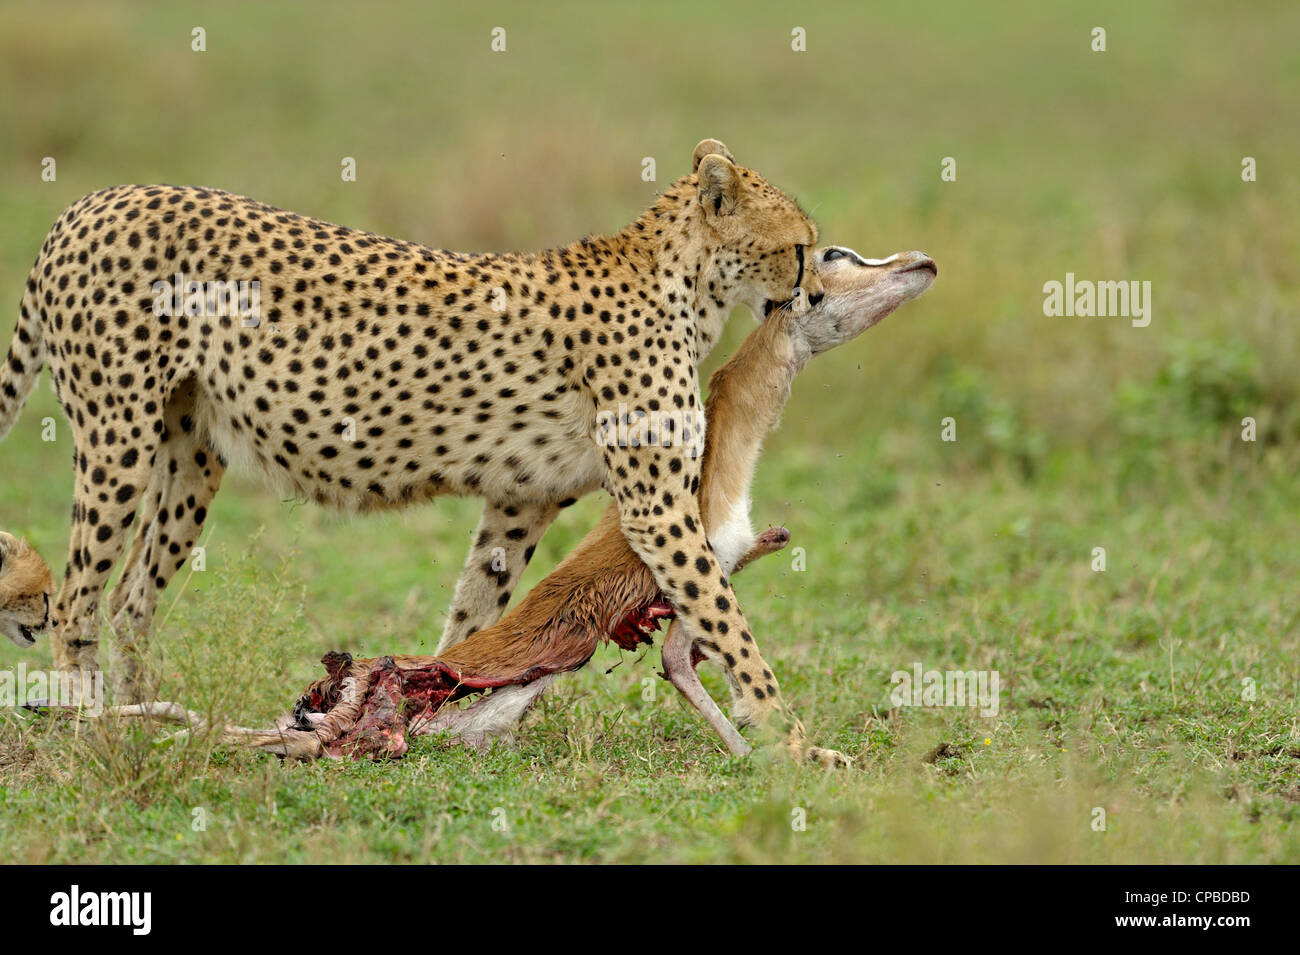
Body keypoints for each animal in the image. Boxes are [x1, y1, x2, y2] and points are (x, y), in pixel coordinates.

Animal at [0, 138, 840, 762]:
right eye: (800, 247)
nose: (815, 294)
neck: (682, 279)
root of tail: (91, 203)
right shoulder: (657, 508)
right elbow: (729, 623)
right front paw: (795, 741)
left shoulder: (520, 500)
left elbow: (475, 614)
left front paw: (431, 706)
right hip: (117, 435)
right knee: (76, 599)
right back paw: (89, 730)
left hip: (190, 451)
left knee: (131, 597)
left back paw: (136, 716)